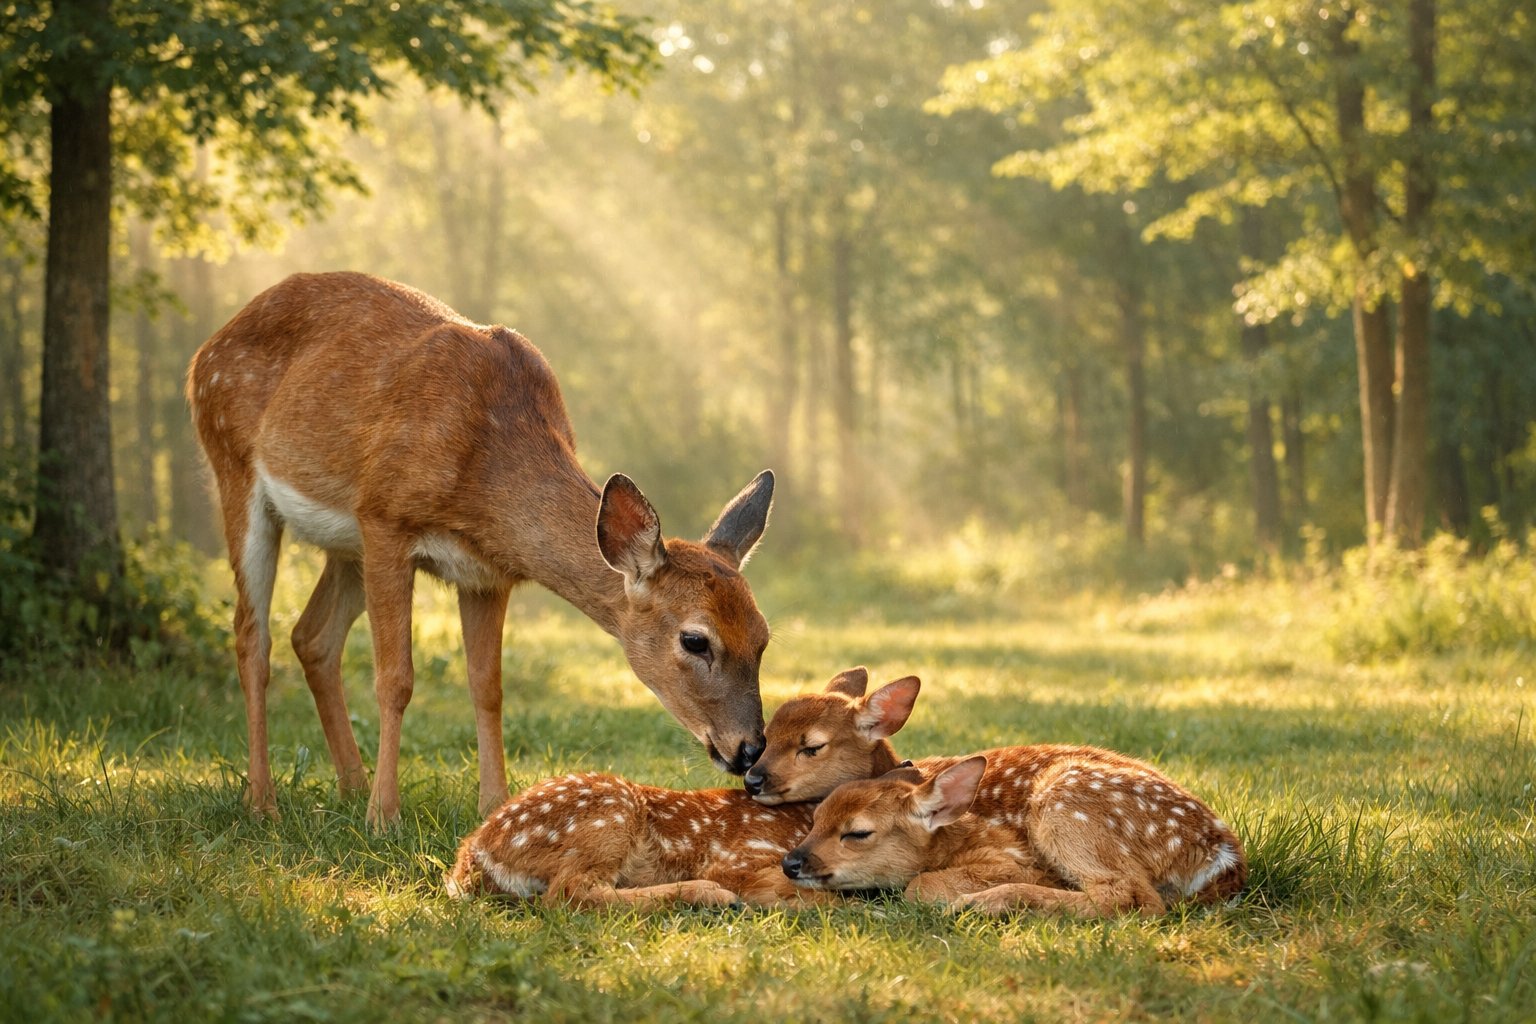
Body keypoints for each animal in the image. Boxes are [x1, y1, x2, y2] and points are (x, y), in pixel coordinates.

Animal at [187, 271, 775, 828]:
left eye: (764, 638)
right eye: (695, 640)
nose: (749, 750)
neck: (485, 479)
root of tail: (203, 353)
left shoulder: (487, 572)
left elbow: (488, 687)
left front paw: (493, 804)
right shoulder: (384, 519)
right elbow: (395, 679)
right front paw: (385, 816)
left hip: (344, 548)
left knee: (311, 636)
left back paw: (349, 787)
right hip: (234, 465)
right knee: (251, 636)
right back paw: (264, 802)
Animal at [755, 668, 1246, 915]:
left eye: (812, 746)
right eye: (766, 735)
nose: (753, 777)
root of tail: (1221, 857)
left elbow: (920, 883)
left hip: (1064, 803)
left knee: (1130, 896)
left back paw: (986, 903)